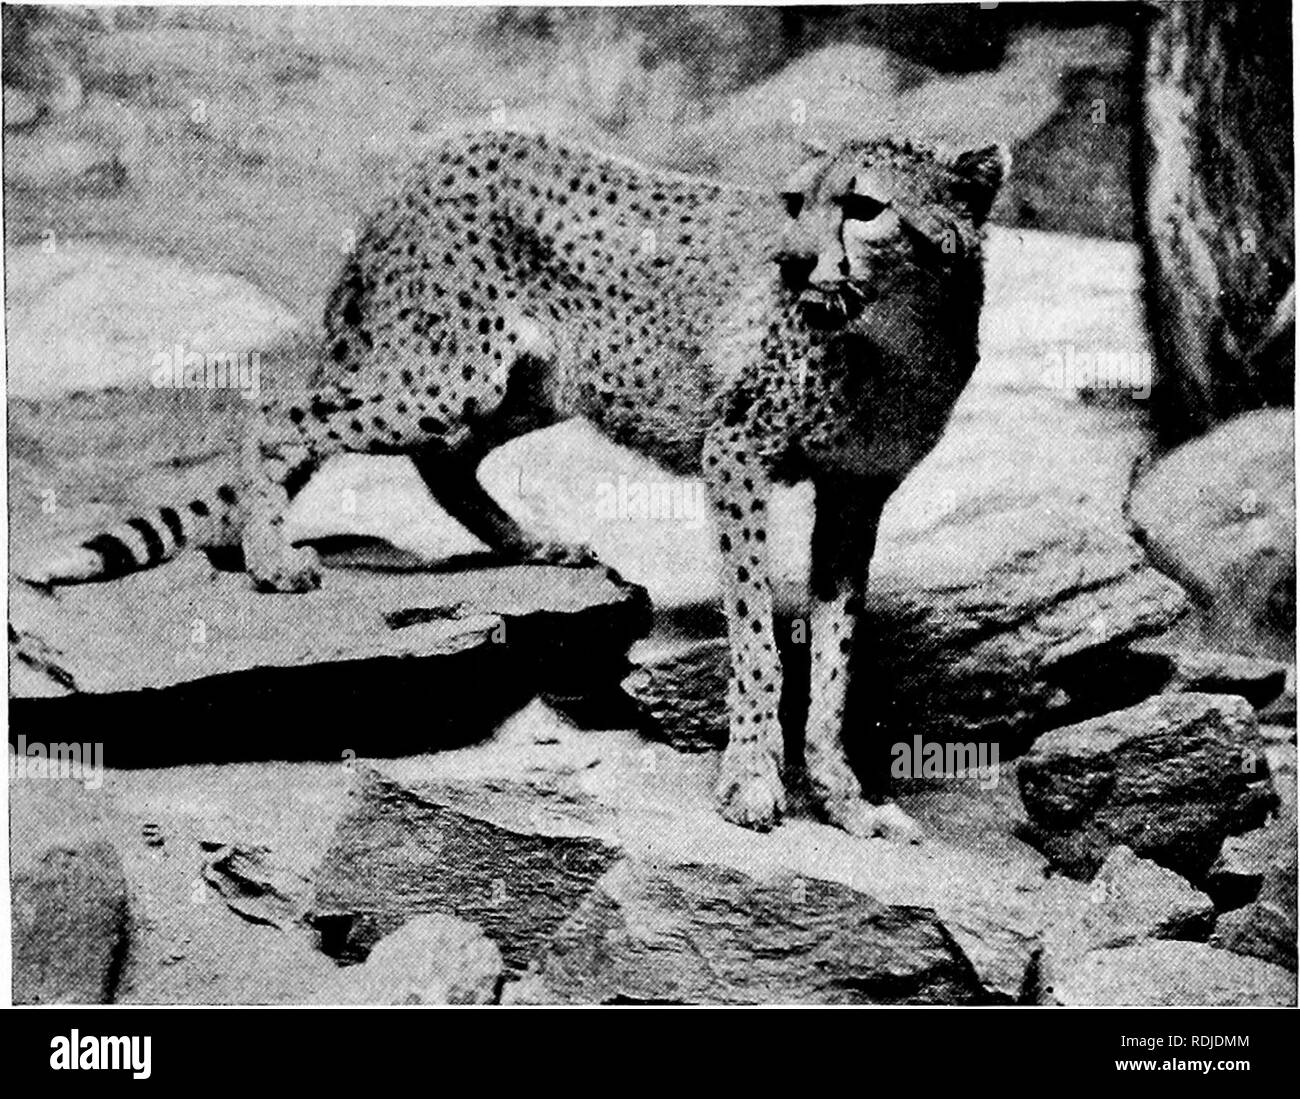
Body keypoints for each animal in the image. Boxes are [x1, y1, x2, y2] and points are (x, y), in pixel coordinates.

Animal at [26, 129, 1008, 837]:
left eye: (866, 206)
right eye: (797, 203)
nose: (793, 262)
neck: (896, 337)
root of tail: (439, 153)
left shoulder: (854, 498)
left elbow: (835, 661)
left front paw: (843, 796)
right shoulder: (737, 456)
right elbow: (759, 639)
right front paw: (751, 781)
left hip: (531, 381)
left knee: (444, 459)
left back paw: (529, 542)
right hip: (442, 374)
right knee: (281, 414)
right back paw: (272, 554)